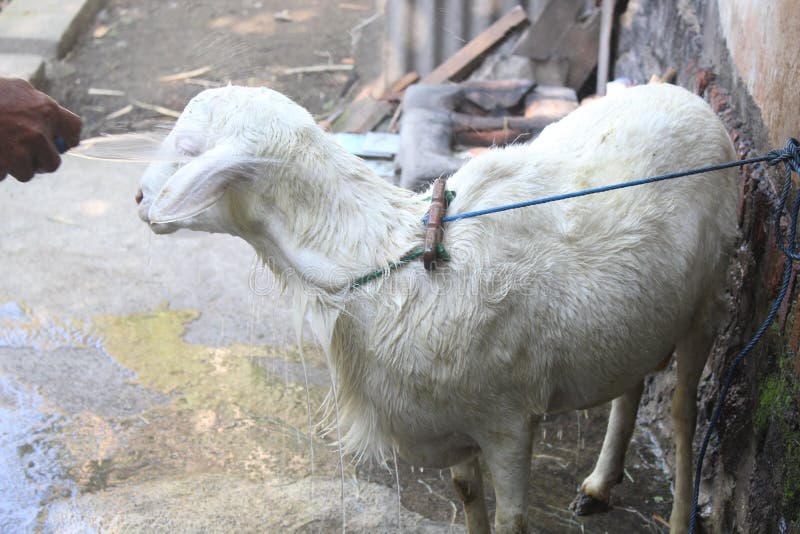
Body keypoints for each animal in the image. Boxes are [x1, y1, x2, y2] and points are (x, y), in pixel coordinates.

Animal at [136, 82, 738, 534]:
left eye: (186, 149)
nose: (139, 199)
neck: (387, 255)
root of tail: (687, 96)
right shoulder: (456, 421)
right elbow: (467, 494)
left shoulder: (509, 422)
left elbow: (511, 520)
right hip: (640, 309)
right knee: (632, 382)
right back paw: (600, 482)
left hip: (709, 296)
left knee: (683, 413)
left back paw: (678, 513)